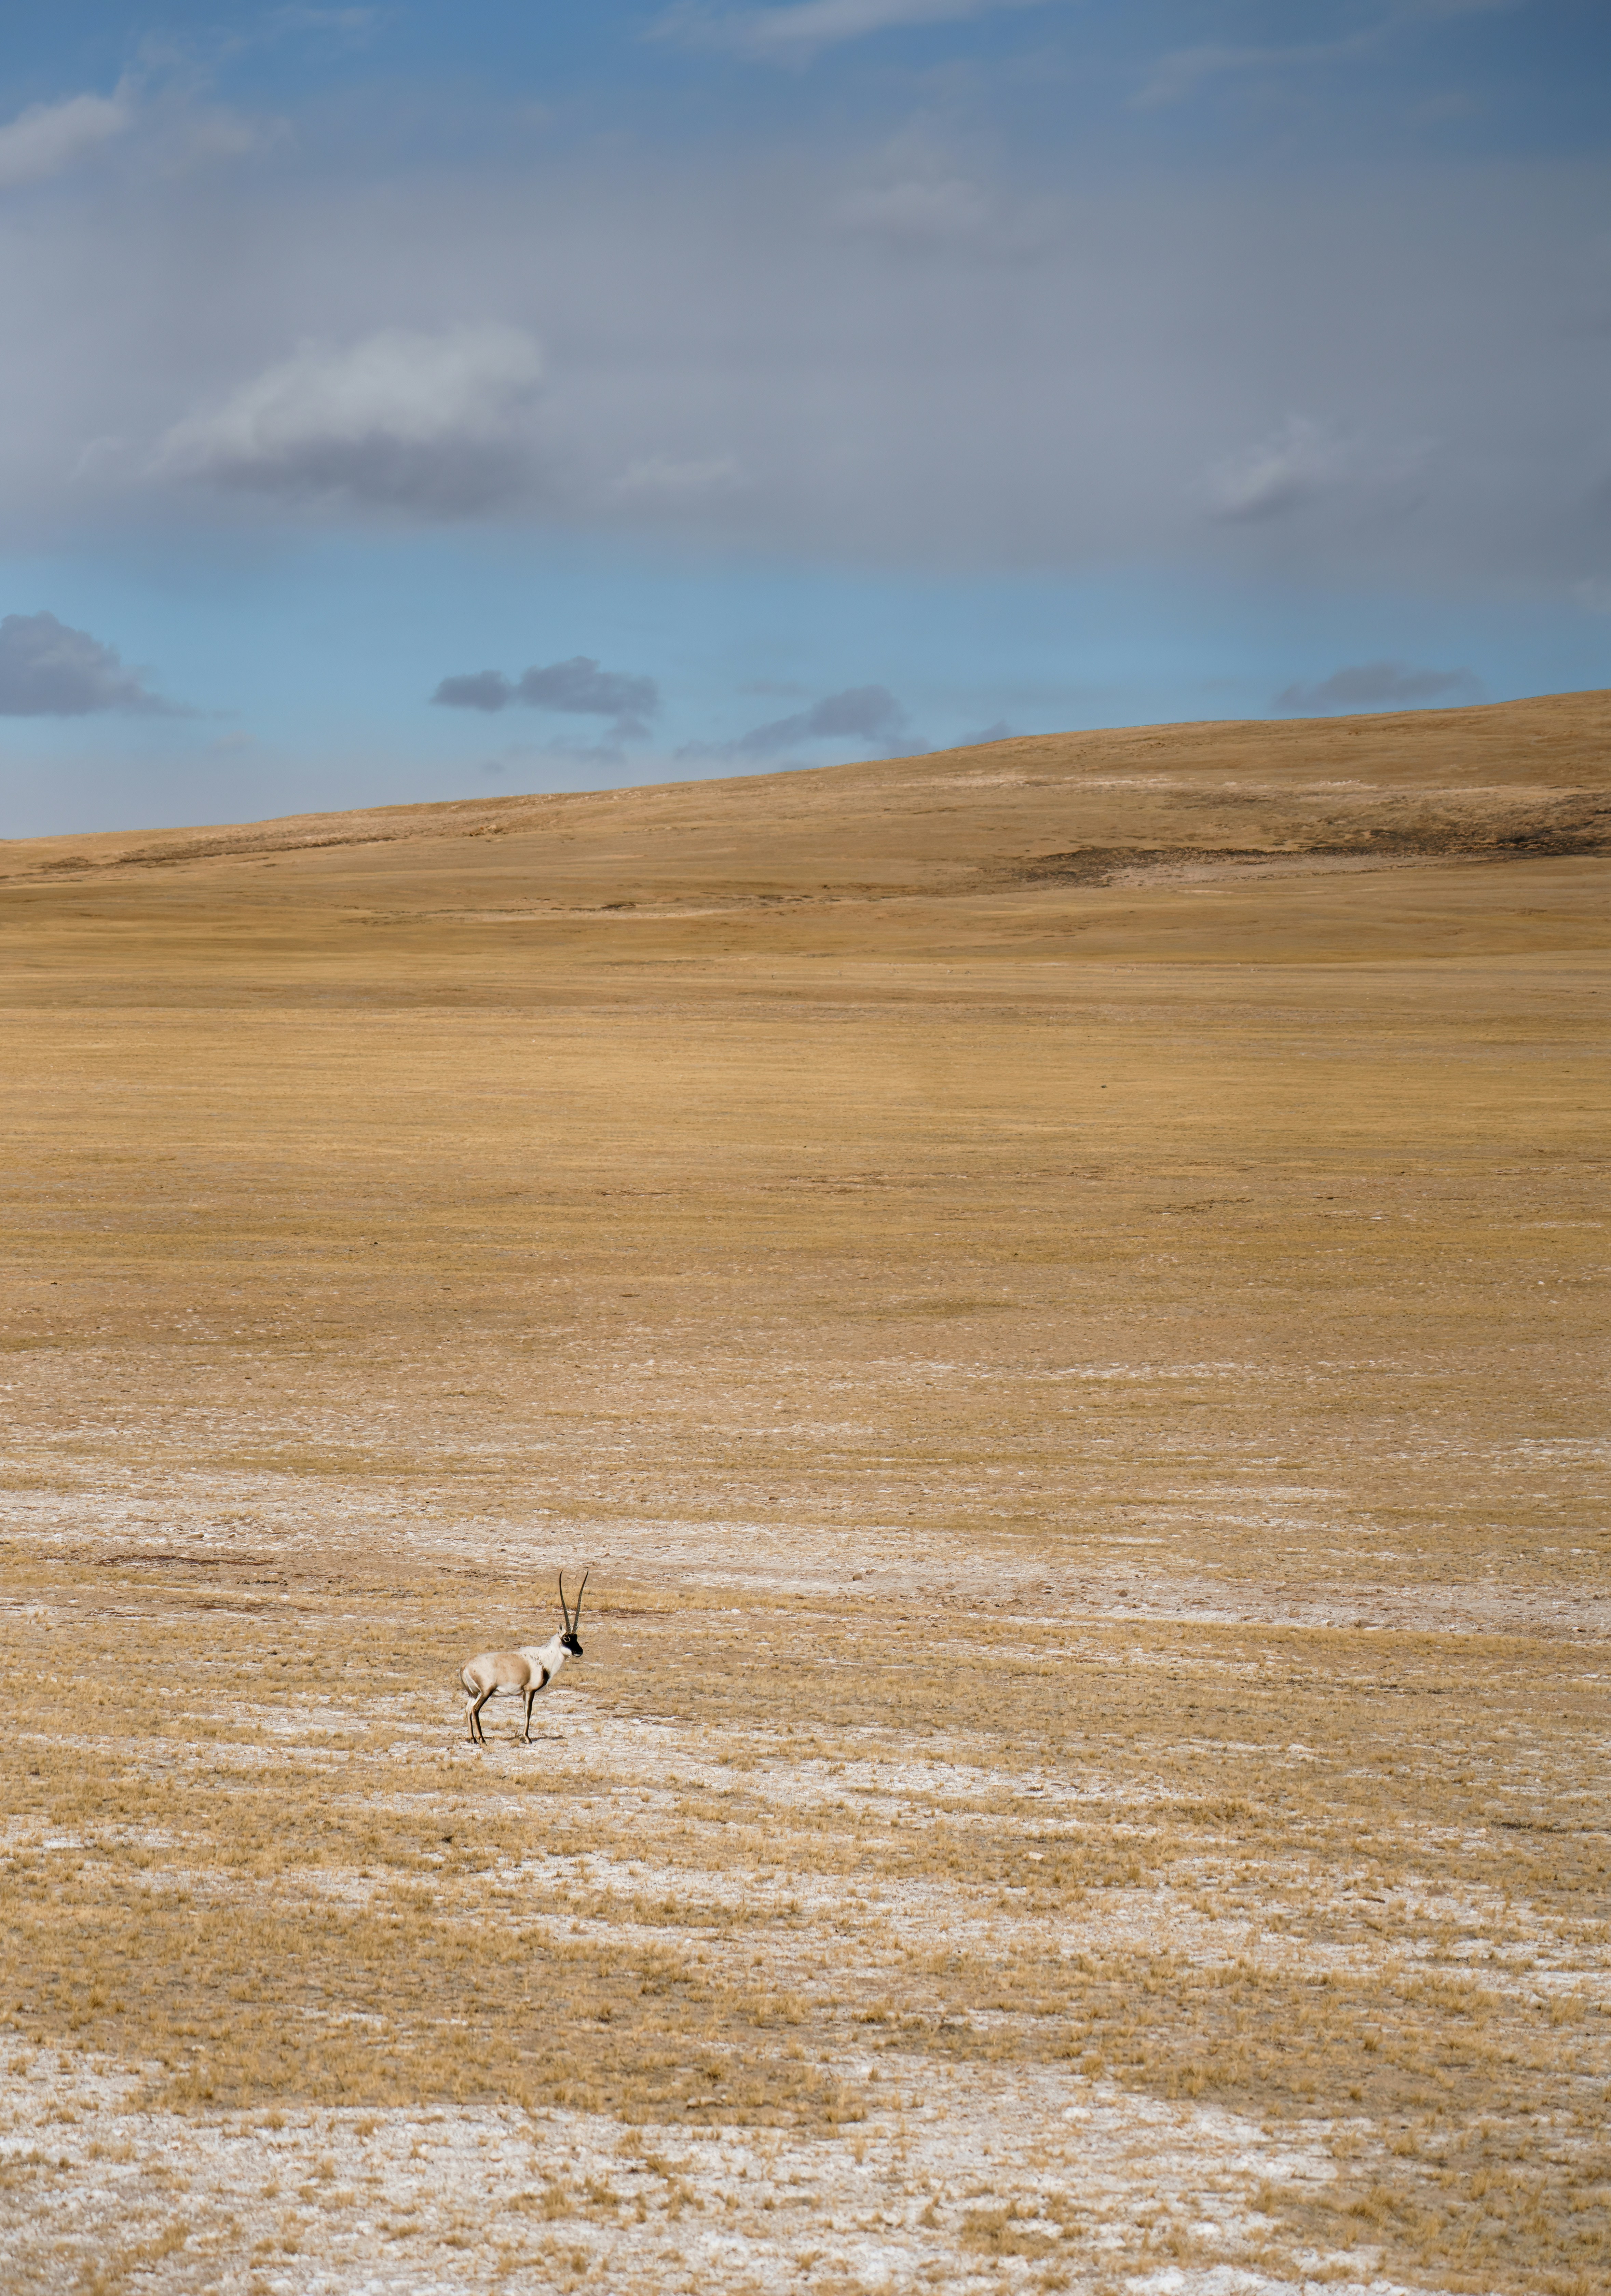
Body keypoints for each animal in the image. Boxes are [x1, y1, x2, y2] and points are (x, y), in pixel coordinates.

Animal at [460, 1571, 588, 1746]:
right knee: (475, 1709)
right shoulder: (529, 1691)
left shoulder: (522, 1693)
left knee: (467, 1709)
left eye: (576, 1637)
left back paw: (472, 1739)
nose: (579, 1652)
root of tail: (465, 1666)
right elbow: (528, 1711)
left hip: (473, 1694)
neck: (544, 1657)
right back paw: (482, 1740)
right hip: (486, 1692)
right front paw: (527, 1738)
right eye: (567, 1638)